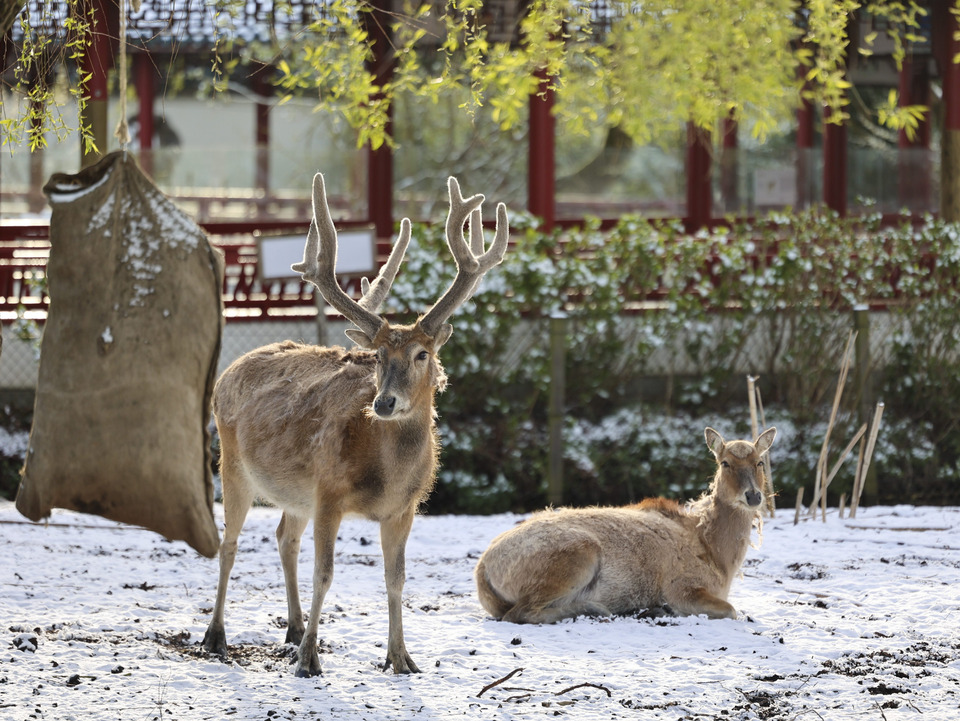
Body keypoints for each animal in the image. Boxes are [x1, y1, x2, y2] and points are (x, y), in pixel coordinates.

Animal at [201, 174, 509, 677]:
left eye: (422, 354)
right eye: (379, 356)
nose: (384, 402)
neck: (384, 477)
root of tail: (228, 371)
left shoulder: (404, 508)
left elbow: (396, 579)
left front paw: (401, 658)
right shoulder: (329, 492)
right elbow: (325, 574)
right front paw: (309, 661)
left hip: (296, 493)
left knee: (284, 537)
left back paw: (292, 628)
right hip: (232, 463)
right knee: (229, 545)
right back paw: (216, 636)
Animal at [474, 427, 777, 624]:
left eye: (760, 462)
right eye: (724, 463)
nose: (753, 496)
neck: (718, 560)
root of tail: (482, 570)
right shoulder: (681, 585)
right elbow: (731, 610)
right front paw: (662, 608)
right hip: (573, 556)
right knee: (518, 613)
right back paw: (597, 609)